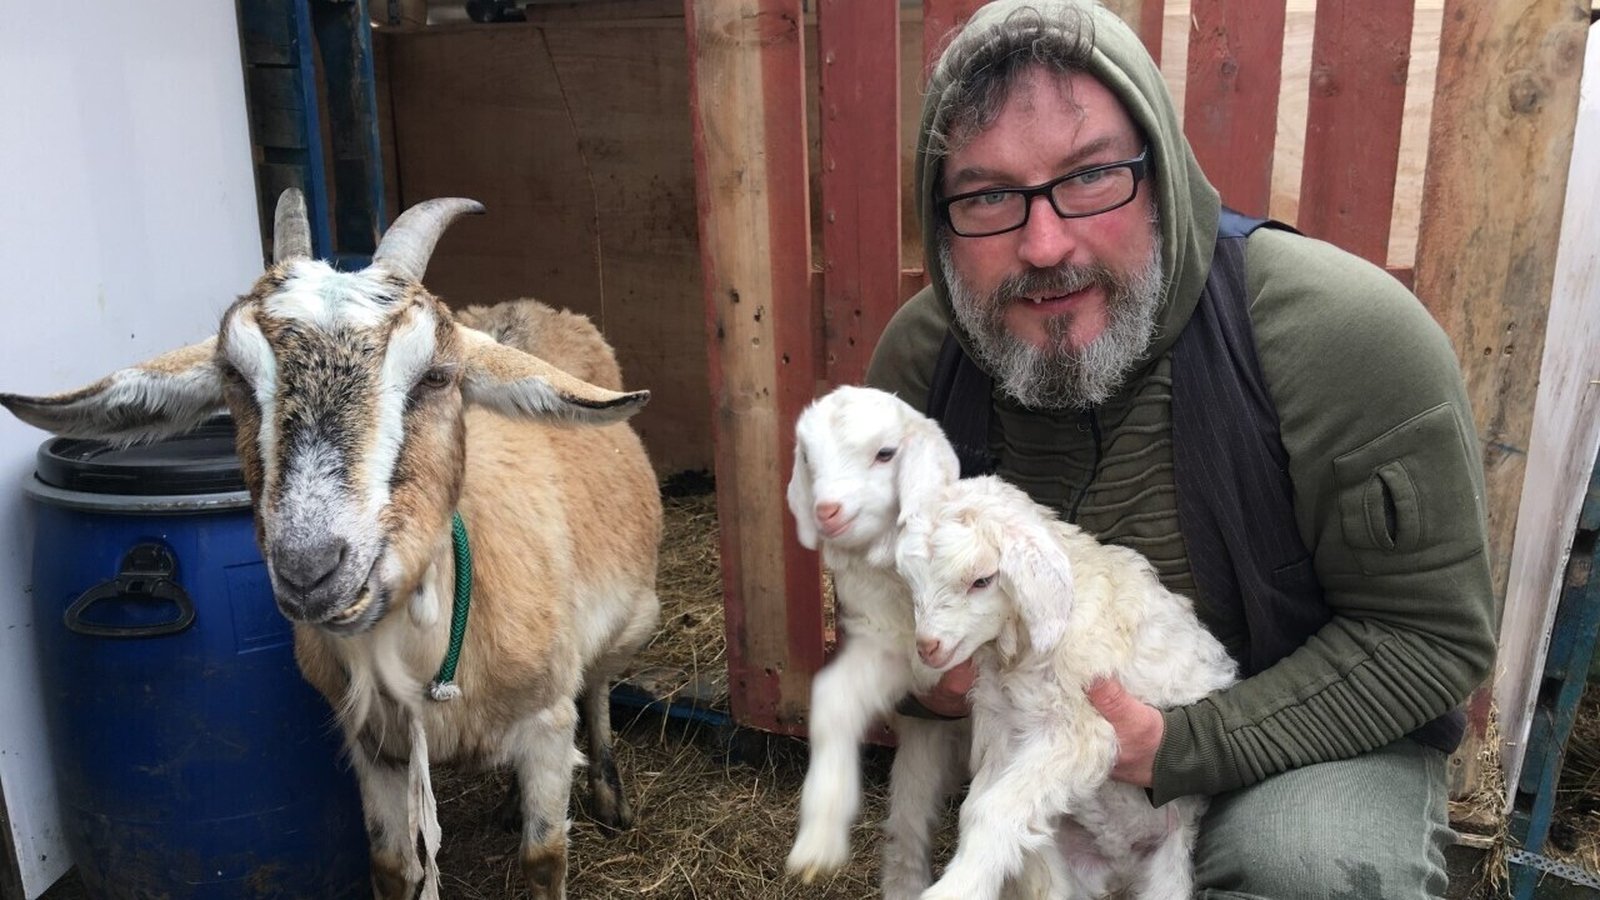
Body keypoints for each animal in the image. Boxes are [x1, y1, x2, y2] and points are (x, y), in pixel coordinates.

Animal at [0, 190, 662, 900]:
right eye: (234, 376)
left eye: (437, 376)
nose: (310, 569)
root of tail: (528, 308)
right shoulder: (371, 741)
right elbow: (392, 867)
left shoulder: (544, 723)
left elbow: (544, 858)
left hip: (628, 622)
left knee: (598, 683)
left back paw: (610, 795)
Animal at [896, 475, 1239, 900]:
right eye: (913, 583)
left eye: (982, 580)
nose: (927, 647)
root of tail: (1120, 869)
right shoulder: (1008, 729)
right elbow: (976, 809)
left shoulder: (1081, 731)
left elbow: (994, 811)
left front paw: (956, 888)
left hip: (1171, 869)